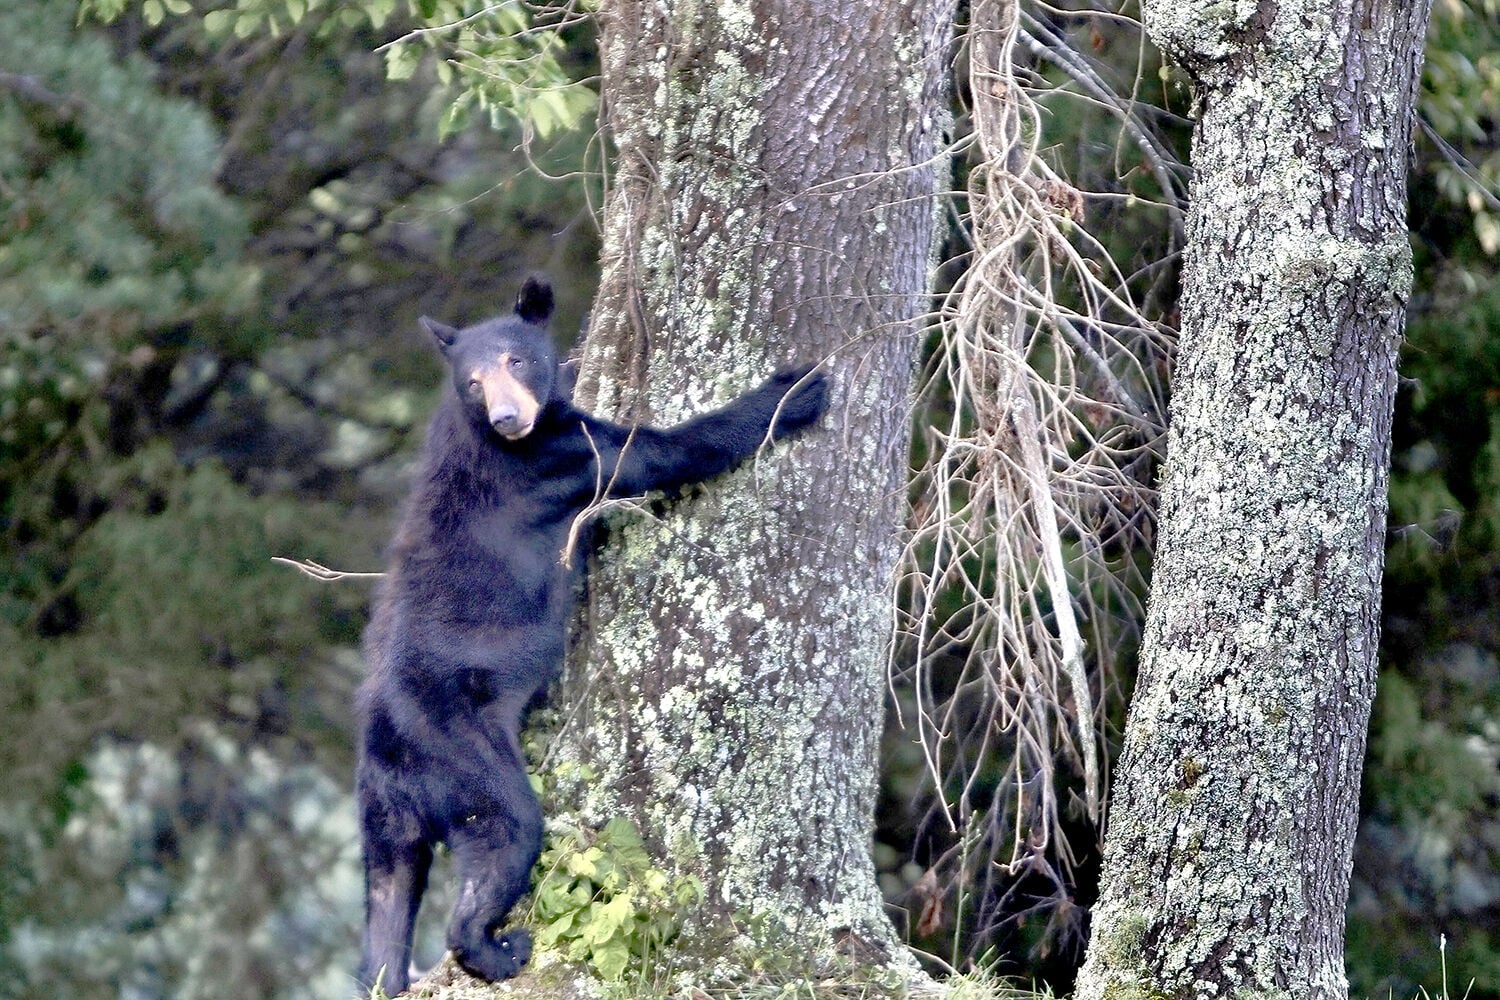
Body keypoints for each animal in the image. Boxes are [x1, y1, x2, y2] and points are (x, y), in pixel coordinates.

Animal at [354, 276, 828, 995]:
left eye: (516, 360)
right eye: (473, 381)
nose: (507, 419)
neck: (481, 432)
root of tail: (391, 756)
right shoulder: (559, 459)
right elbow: (661, 451)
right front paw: (794, 390)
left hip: (380, 820)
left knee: (385, 899)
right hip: (462, 753)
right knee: (506, 831)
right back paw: (497, 947)